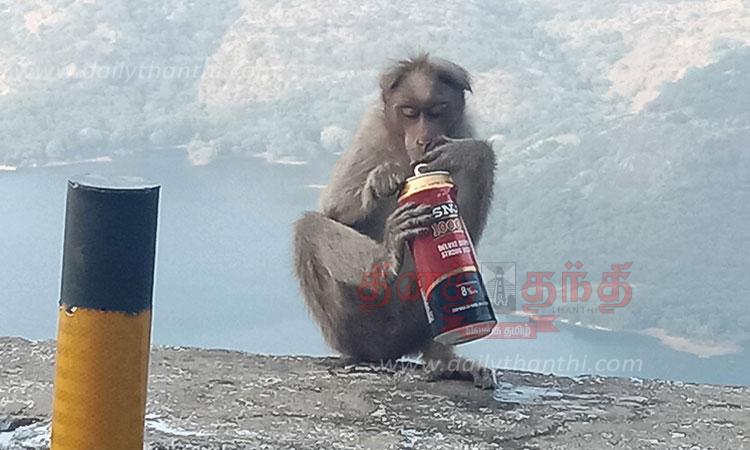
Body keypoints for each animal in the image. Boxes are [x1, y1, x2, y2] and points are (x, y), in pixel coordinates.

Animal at [293, 54, 497, 388]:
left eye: (437, 110)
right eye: (410, 112)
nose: (424, 139)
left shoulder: (461, 127)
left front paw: (467, 152)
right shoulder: (370, 131)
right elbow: (331, 210)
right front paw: (378, 182)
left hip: (416, 321)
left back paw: (441, 357)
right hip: (352, 326)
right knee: (308, 229)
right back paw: (387, 257)